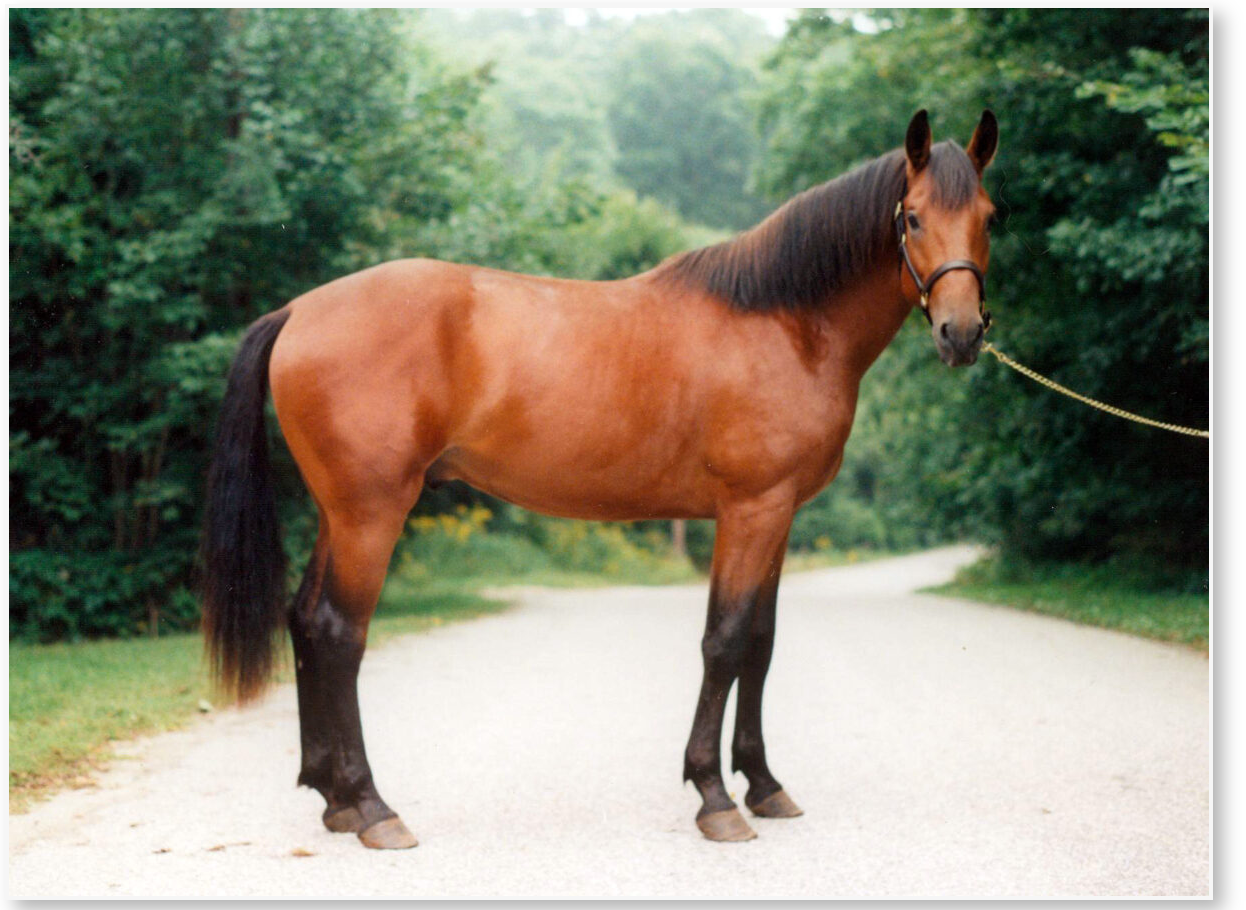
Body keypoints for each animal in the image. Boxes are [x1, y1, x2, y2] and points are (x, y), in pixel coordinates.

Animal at [201, 109, 998, 849]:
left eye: (990, 216)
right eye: (913, 216)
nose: (961, 335)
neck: (785, 322)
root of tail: (299, 310)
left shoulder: (780, 515)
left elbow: (761, 643)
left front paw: (765, 784)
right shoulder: (750, 510)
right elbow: (724, 642)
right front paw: (715, 797)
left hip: (338, 512)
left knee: (305, 620)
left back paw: (332, 797)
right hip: (371, 512)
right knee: (340, 633)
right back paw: (372, 807)